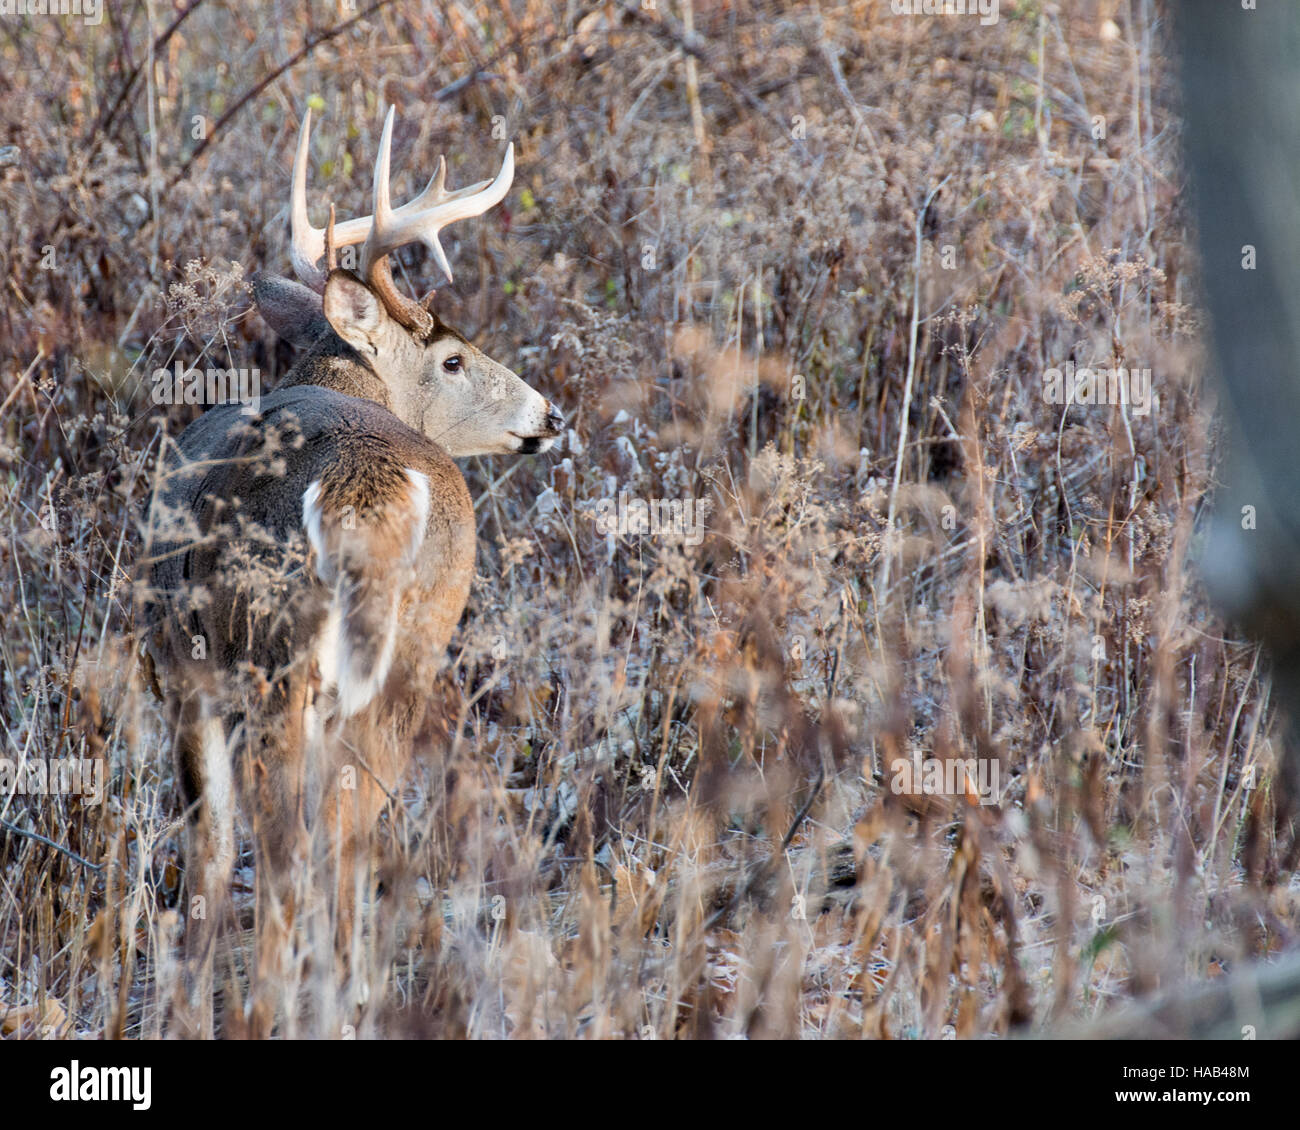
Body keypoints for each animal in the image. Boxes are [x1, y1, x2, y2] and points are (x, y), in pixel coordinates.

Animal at [139, 105, 563, 1036]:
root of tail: (359, 497)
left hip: (246, 663)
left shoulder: (184, 664)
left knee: (258, 845)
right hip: (395, 652)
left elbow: (212, 849)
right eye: (452, 358)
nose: (550, 414)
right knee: (329, 837)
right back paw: (327, 997)